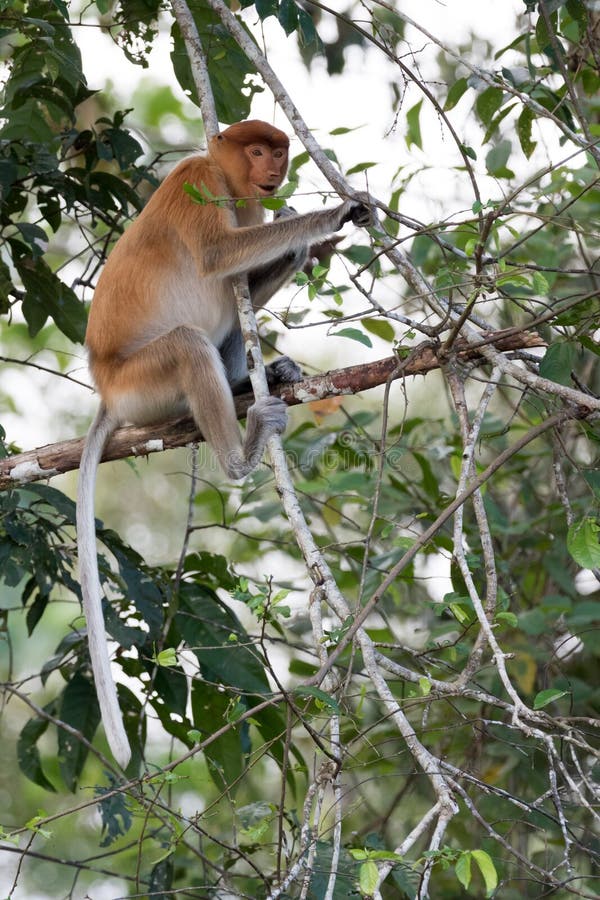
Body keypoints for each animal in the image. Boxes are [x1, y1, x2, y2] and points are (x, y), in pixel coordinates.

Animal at [76, 119, 372, 768]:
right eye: (255, 149)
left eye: (278, 150)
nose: (275, 168)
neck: (232, 182)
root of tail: (107, 389)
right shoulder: (201, 183)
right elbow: (216, 257)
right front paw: (335, 213)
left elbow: (241, 275)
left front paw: (305, 242)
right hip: (143, 384)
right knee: (190, 343)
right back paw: (244, 451)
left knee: (229, 320)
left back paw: (257, 380)